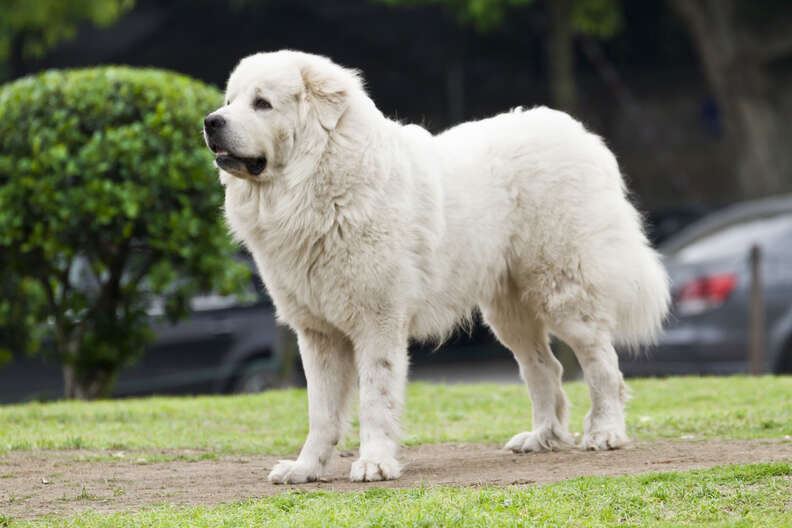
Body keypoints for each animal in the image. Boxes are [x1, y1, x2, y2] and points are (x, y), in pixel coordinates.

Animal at [203, 49, 668, 482]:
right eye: (229, 101)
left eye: (262, 103)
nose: (211, 122)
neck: (320, 181)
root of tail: (581, 135)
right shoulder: (318, 333)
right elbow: (321, 412)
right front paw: (305, 468)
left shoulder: (378, 322)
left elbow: (375, 399)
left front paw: (374, 464)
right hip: (509, 312)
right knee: (545, 368)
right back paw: (542, 438)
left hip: (564, 292)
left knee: (601, 363)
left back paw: (605, 433)